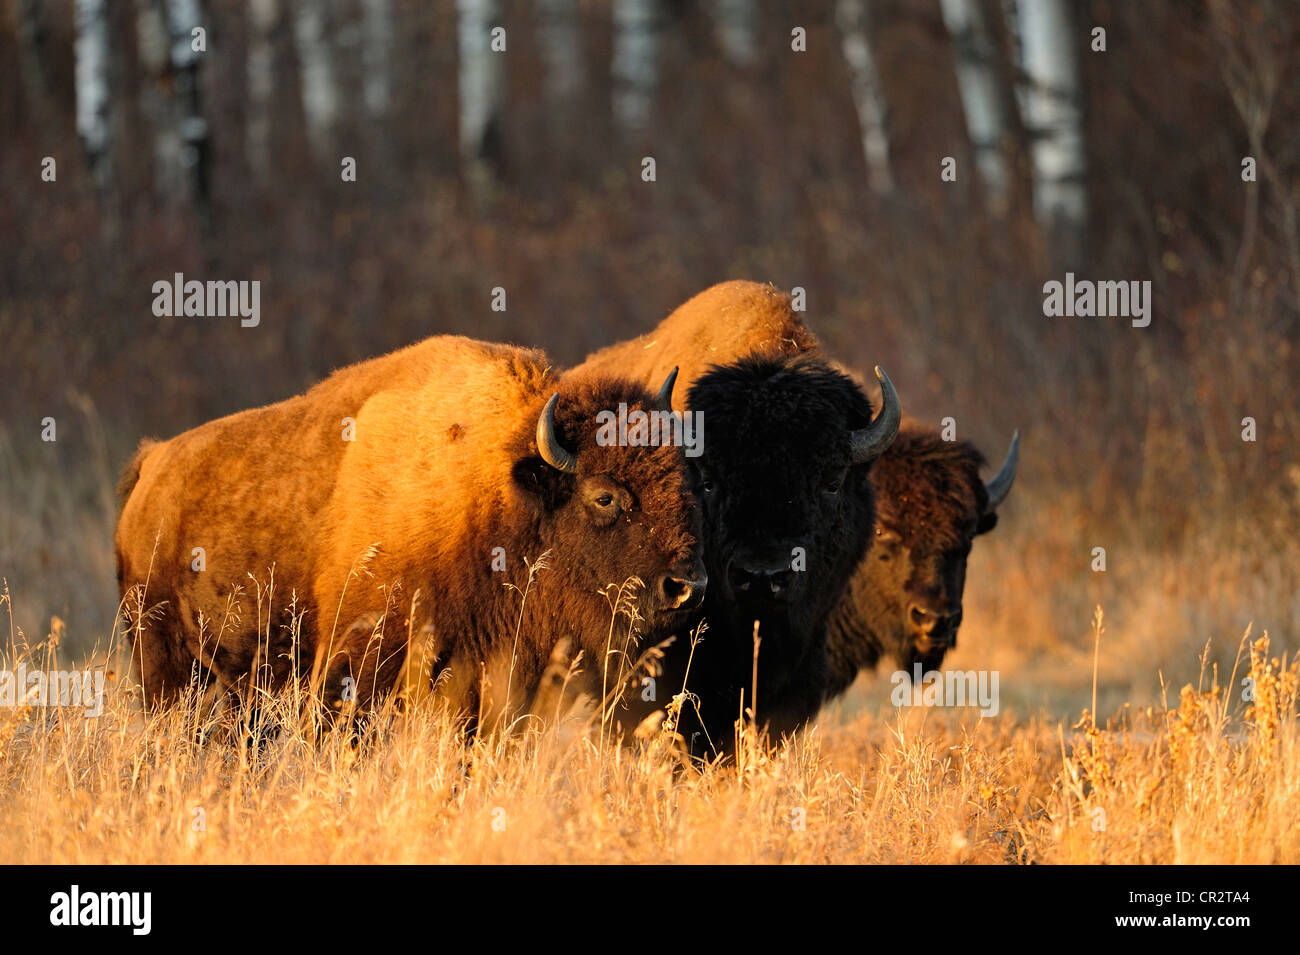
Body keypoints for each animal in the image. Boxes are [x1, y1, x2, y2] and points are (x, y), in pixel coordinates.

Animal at [115, 335, 704, 728]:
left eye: (688, 481)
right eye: (604, 496)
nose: (685, 586)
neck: (494, 491)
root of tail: (151, 464)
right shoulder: (358, 663)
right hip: (163, 661)